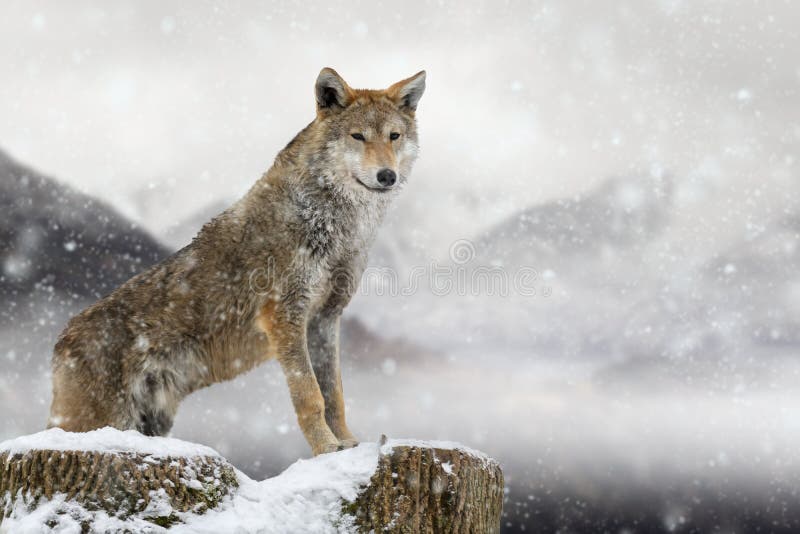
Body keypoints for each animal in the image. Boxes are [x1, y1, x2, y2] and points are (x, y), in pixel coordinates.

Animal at [48, 68, 426, 455]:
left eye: (393, 136)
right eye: (358, 136)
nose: (387, 176)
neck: (337, 225)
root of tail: (60, 341)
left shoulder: (325, 318)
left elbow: (333, 394)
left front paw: (347, 444)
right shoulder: (284, 315)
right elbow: (310, 396)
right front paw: (325, 449)